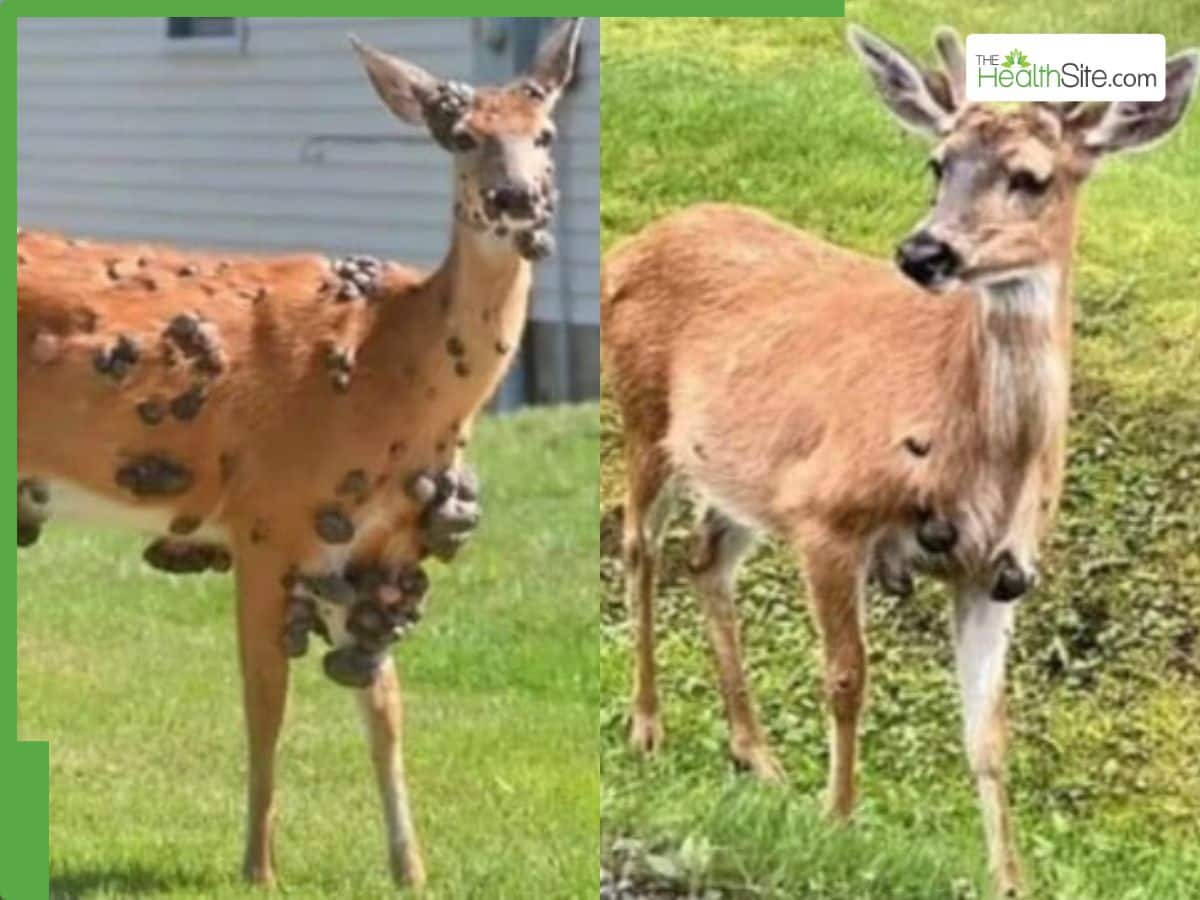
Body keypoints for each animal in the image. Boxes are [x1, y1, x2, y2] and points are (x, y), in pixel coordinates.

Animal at [17, 17, 584, 890]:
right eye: (462, 136)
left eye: (545, 133)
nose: (517, 199)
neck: (391, 364)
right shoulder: (265, 521)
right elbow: (266, 704)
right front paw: (259, 869)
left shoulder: (372, 543)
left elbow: (384, 709)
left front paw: (411, 869)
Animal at [601, 24, 1197, 897]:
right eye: (937, 163)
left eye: (1031, 178)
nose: (923, 250)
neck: (979, 458)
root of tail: (631, 244)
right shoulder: (827, 515)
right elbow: (848, 676)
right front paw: (839, 822)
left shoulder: (997, 572)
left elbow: (990, 732)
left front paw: (1009, 878)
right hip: (644, 416)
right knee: (638, 545)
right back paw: (647, 728)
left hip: (743, 476)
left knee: (704, 559)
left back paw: (757, 756)